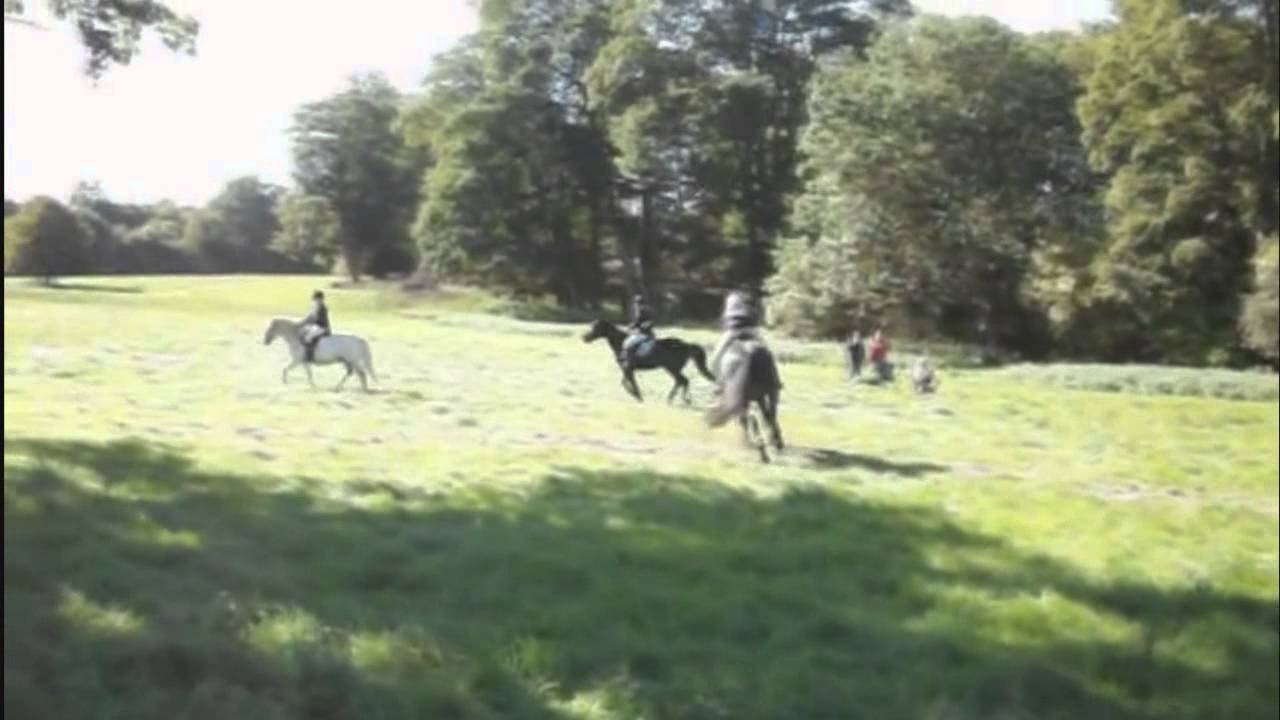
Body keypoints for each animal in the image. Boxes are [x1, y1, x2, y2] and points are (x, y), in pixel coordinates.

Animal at [582, 319, 716, 404]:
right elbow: (626, 382)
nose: (584, 338)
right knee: (682, 381)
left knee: (683, 381)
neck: (622, 343)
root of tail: (686, 345)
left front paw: (637, 396)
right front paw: (637, 395)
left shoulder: (627, 367)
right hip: (672, 369)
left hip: (672, 368)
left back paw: (680, 400)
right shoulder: (628, 369)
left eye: (595, 327)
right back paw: (677, 399)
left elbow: (627, 382)